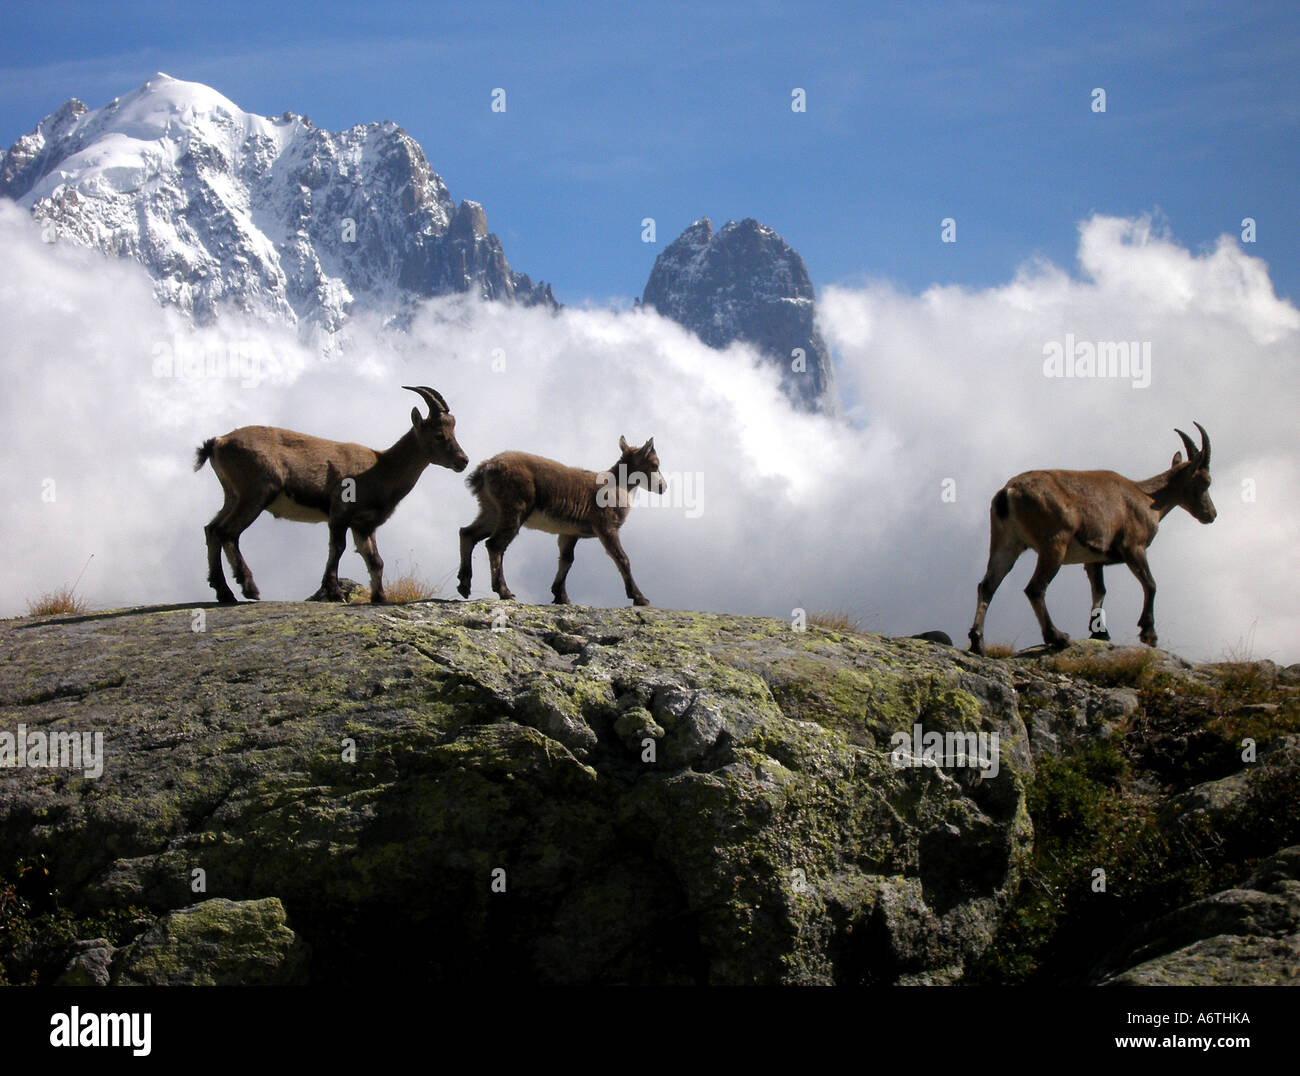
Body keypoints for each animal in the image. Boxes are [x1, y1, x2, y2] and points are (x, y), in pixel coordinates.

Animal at [195, 386, 468, 605]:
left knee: (212, 529)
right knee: (227, 532)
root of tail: (218, 442)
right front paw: (335, 592)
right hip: (256, 494)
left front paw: (379, 597)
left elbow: (375, 560)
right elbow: (338, 548)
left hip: (233, 495)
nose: (463, 461)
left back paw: (224, 592)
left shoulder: (364, 525)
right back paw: (248, 588)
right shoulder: (340, 513)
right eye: (439, 435)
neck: (381, 467)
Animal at [457, 436, 666, 606]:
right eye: (655, 464)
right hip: (514, 508)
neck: (617, 486)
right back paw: (504, 591)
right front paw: (640, 598)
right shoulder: (606, 526)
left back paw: (464, 585)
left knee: (467, 533)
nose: (663, 487)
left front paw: (561, 596)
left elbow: (566, 560)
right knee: (494, 544)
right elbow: (622, 558)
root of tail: (486, 467)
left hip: (492, 511)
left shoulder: (569, 532)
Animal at [968, 423, 1215, 654]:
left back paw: (977, 642)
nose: (1211, 514)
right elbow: (1150, 583)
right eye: (1206, 481)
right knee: (1035, 588)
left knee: (987, 586)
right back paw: (1057, 637)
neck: (1147, 499)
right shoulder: (1134, 547)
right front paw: (1148, 633)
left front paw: (1100, 633)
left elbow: (1100, 590)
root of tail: (1008, 492)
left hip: (1006, 543)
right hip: (1054, 544)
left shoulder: (1094, 559)